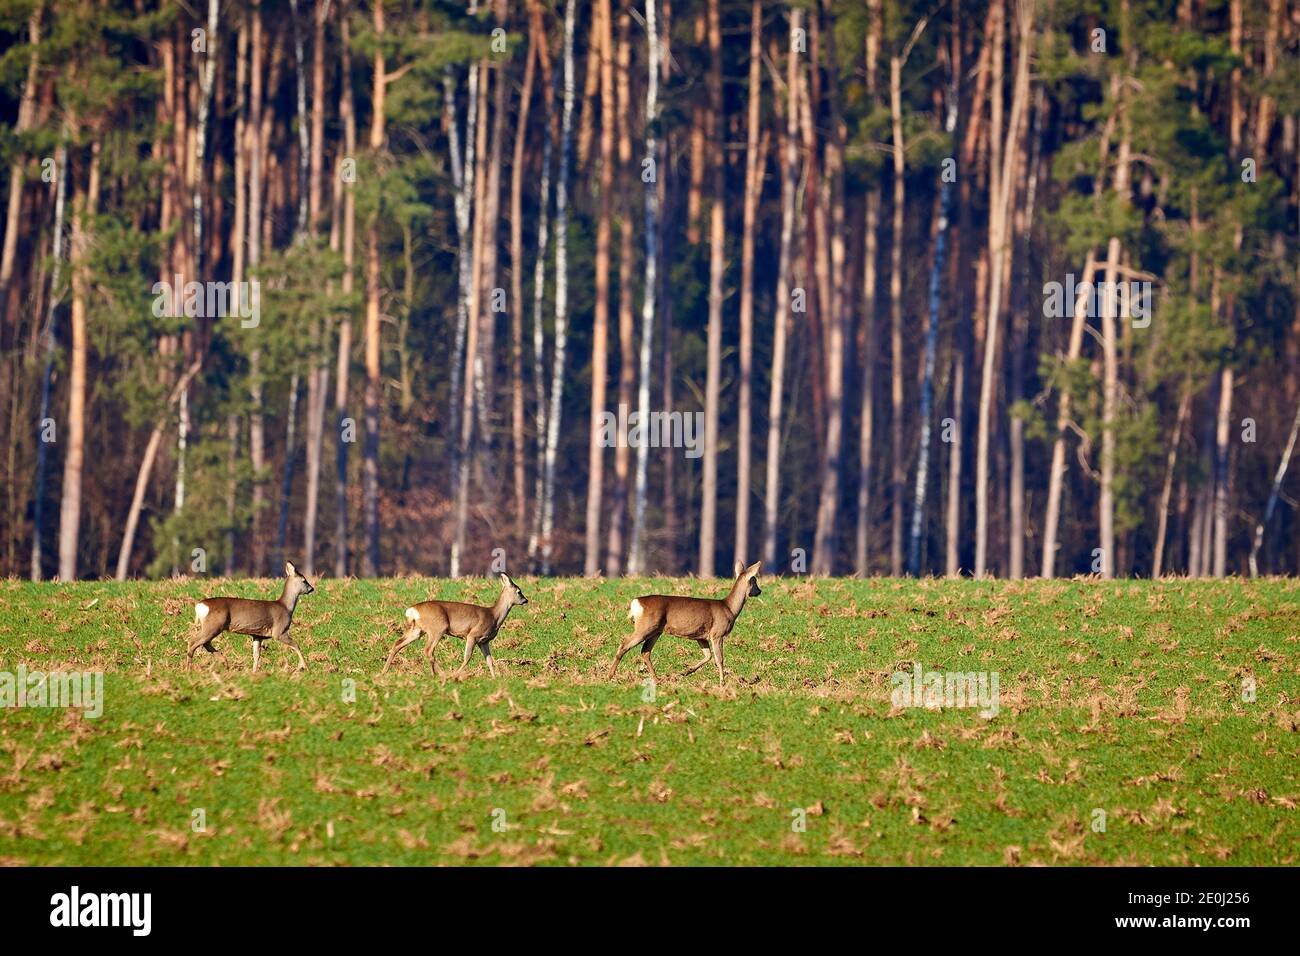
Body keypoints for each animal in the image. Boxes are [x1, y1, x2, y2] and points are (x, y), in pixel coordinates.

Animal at [187, 562, 315, 671]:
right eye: (304, 580)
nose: (312, 589)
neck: (286, 607)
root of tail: (199, 605)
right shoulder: (279, 631)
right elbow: (296, 645)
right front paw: (305, 667)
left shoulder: (257, 635)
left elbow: (256, 655)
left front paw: (254, 672)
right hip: (214, 625)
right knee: (193, 641)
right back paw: (189, 668)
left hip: (211, 626)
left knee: (205, 643)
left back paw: (224, 661)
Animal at [381, 572, 529, 678]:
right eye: (519, 591)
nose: (526, 600)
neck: (493, 615)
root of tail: (412, 610)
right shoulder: (472, 635)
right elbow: (467, 657)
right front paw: (456, 674)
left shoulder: (484, 641)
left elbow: (489, 660)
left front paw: (495, 678)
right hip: (437, 628)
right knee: (428, 650)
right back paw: (443, 675)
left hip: (417, 630)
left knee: (397, 644)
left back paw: (384, 672)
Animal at [608, 560, 762, 686]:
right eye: (754, 581)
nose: (759, 591)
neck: (729, 608)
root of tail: (636, 602)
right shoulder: (717, 633)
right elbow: (719, 659)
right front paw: (722, 683)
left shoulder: (701, 636)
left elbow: (707, 656)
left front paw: (685, 672)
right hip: (645, 627)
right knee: (625, 643)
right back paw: (610, 676)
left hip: (656, 631)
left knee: (645, 651)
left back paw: (657, 679)